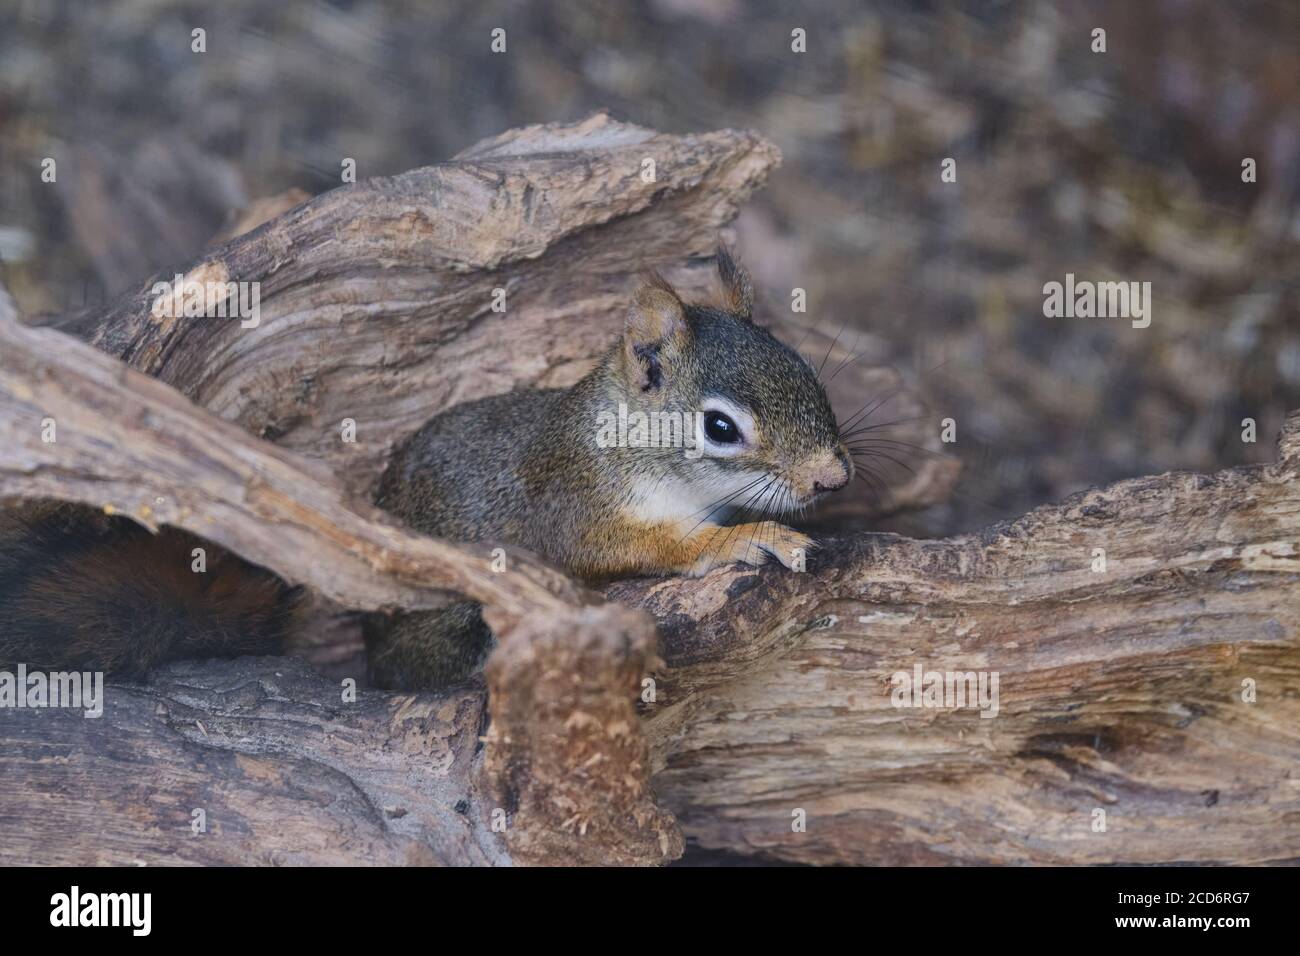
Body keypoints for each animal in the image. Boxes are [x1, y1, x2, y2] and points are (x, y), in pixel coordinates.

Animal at [0, 248, 851, 690]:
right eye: (720, 427)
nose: (833, 479)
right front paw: (746, 539)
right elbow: (641, 547)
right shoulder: (576, 508)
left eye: (806, 368)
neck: (624, 441)